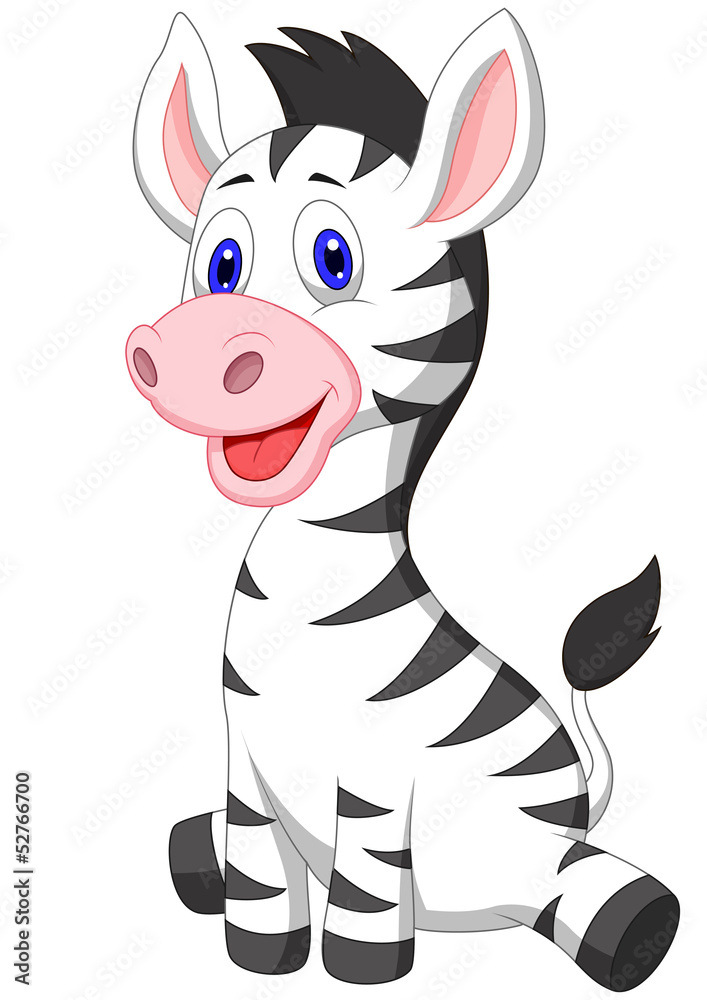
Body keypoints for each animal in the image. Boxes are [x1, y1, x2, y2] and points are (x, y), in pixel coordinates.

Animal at [126, 10, 679, 991]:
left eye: (332, 258)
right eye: (222, 263)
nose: (173, 352)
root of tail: (581, 802)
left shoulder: (379, 780)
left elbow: (366, 890)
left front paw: (359, 973)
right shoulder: (244, 769)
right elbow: (256, 883)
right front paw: (259, 962)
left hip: (545, 867)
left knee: (616, 904)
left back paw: (630, 927)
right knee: (199, 845)